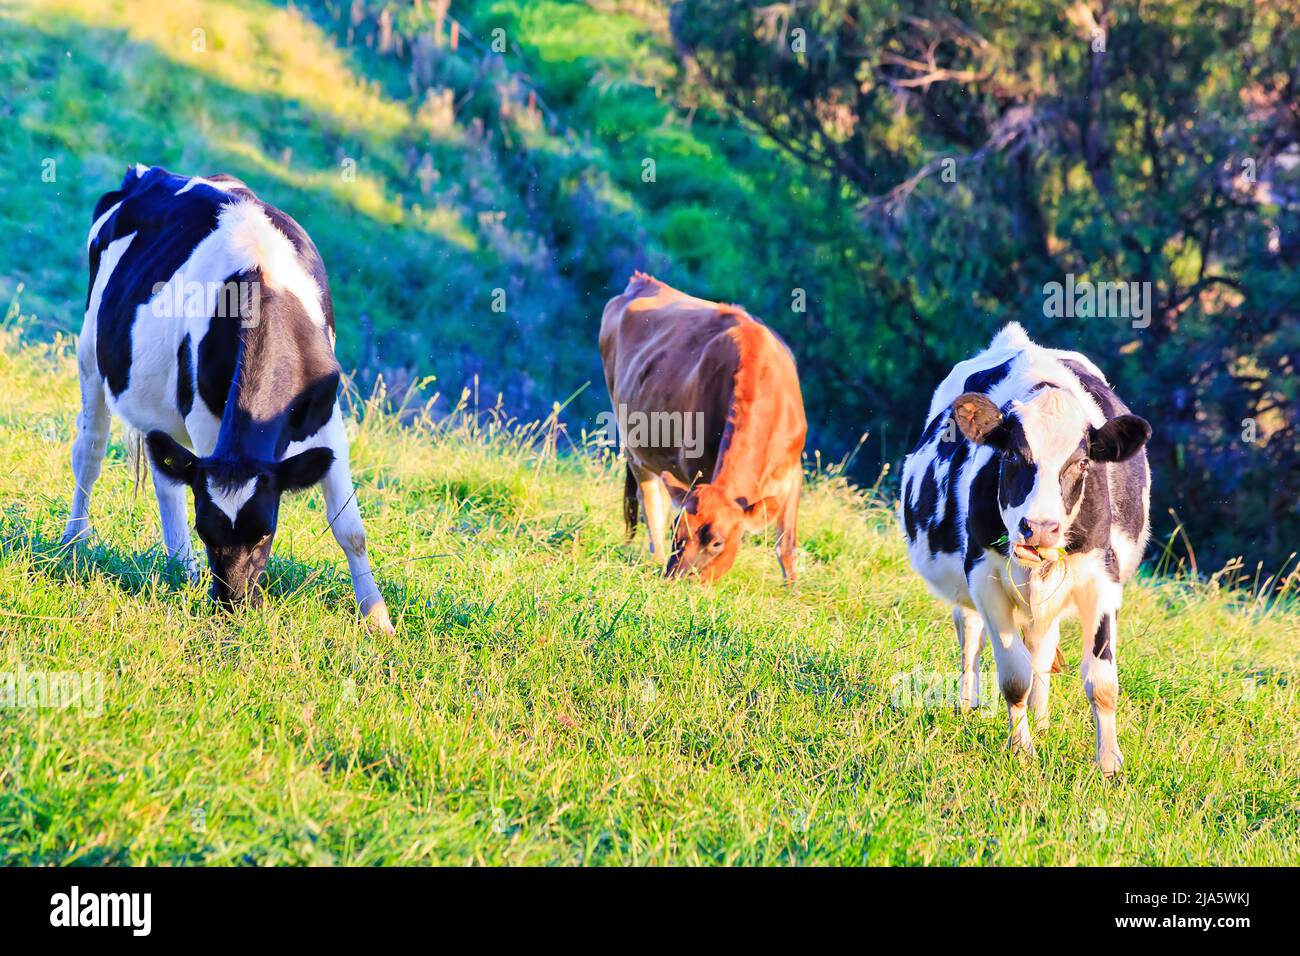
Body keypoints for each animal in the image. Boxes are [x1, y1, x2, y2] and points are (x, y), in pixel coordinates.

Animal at [61, 164, 392, 631]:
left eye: (266, 531)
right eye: (207, 530)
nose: (232, 605)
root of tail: (145, 173)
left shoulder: (328, 417)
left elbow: (350, 527)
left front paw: (377, 618)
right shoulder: (205, 421)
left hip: (155, 401)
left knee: (164, 475)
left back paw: (181, 566)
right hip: (90, 353)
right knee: (89, 452)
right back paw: (75, 539)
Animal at [599, 273, 806, 583]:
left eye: (717, 542)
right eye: (677, 533)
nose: (675, 581)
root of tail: (643, 281)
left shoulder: (793, 473)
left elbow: (787, 547)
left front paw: (792, 589)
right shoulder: (696, 466)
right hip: (634, 446)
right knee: (650, 504)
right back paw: (655, 559)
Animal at [900, 323, 1151, 775]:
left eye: (1081, 463)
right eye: (1014, 455)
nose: (1039, 528)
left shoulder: (1101, 580)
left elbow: (1101, 680)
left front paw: (1108, 763)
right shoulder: (983, 576)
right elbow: (1013, 675)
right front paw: (1021, 750)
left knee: (1042, 646)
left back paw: (1043, 718)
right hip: (968, 590)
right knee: (971, 634)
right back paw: (968, 706)